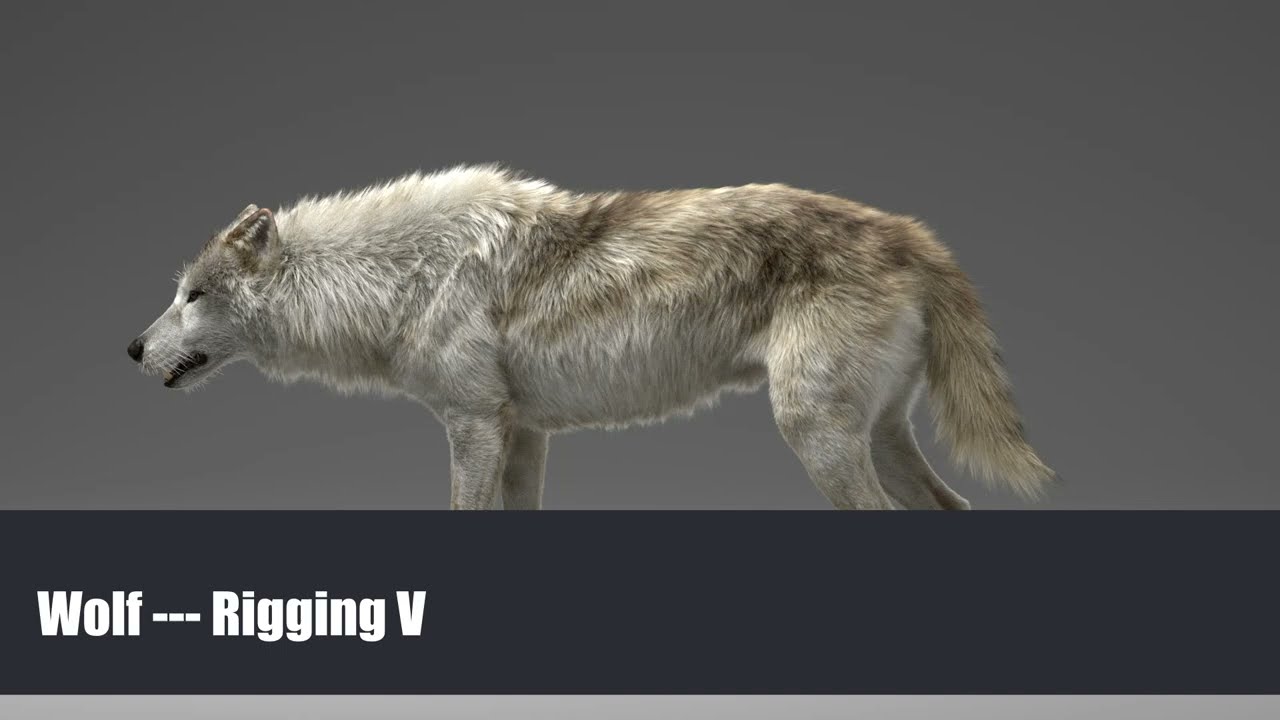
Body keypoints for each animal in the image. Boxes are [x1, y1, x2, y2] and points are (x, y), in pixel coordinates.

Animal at [128, 165, 1054, 509]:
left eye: (193, 294)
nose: (131, 349)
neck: (401, 278)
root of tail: (912, 233)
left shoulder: (474, 427)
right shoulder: (522, 433)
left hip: (816, 435)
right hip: (879, 436)